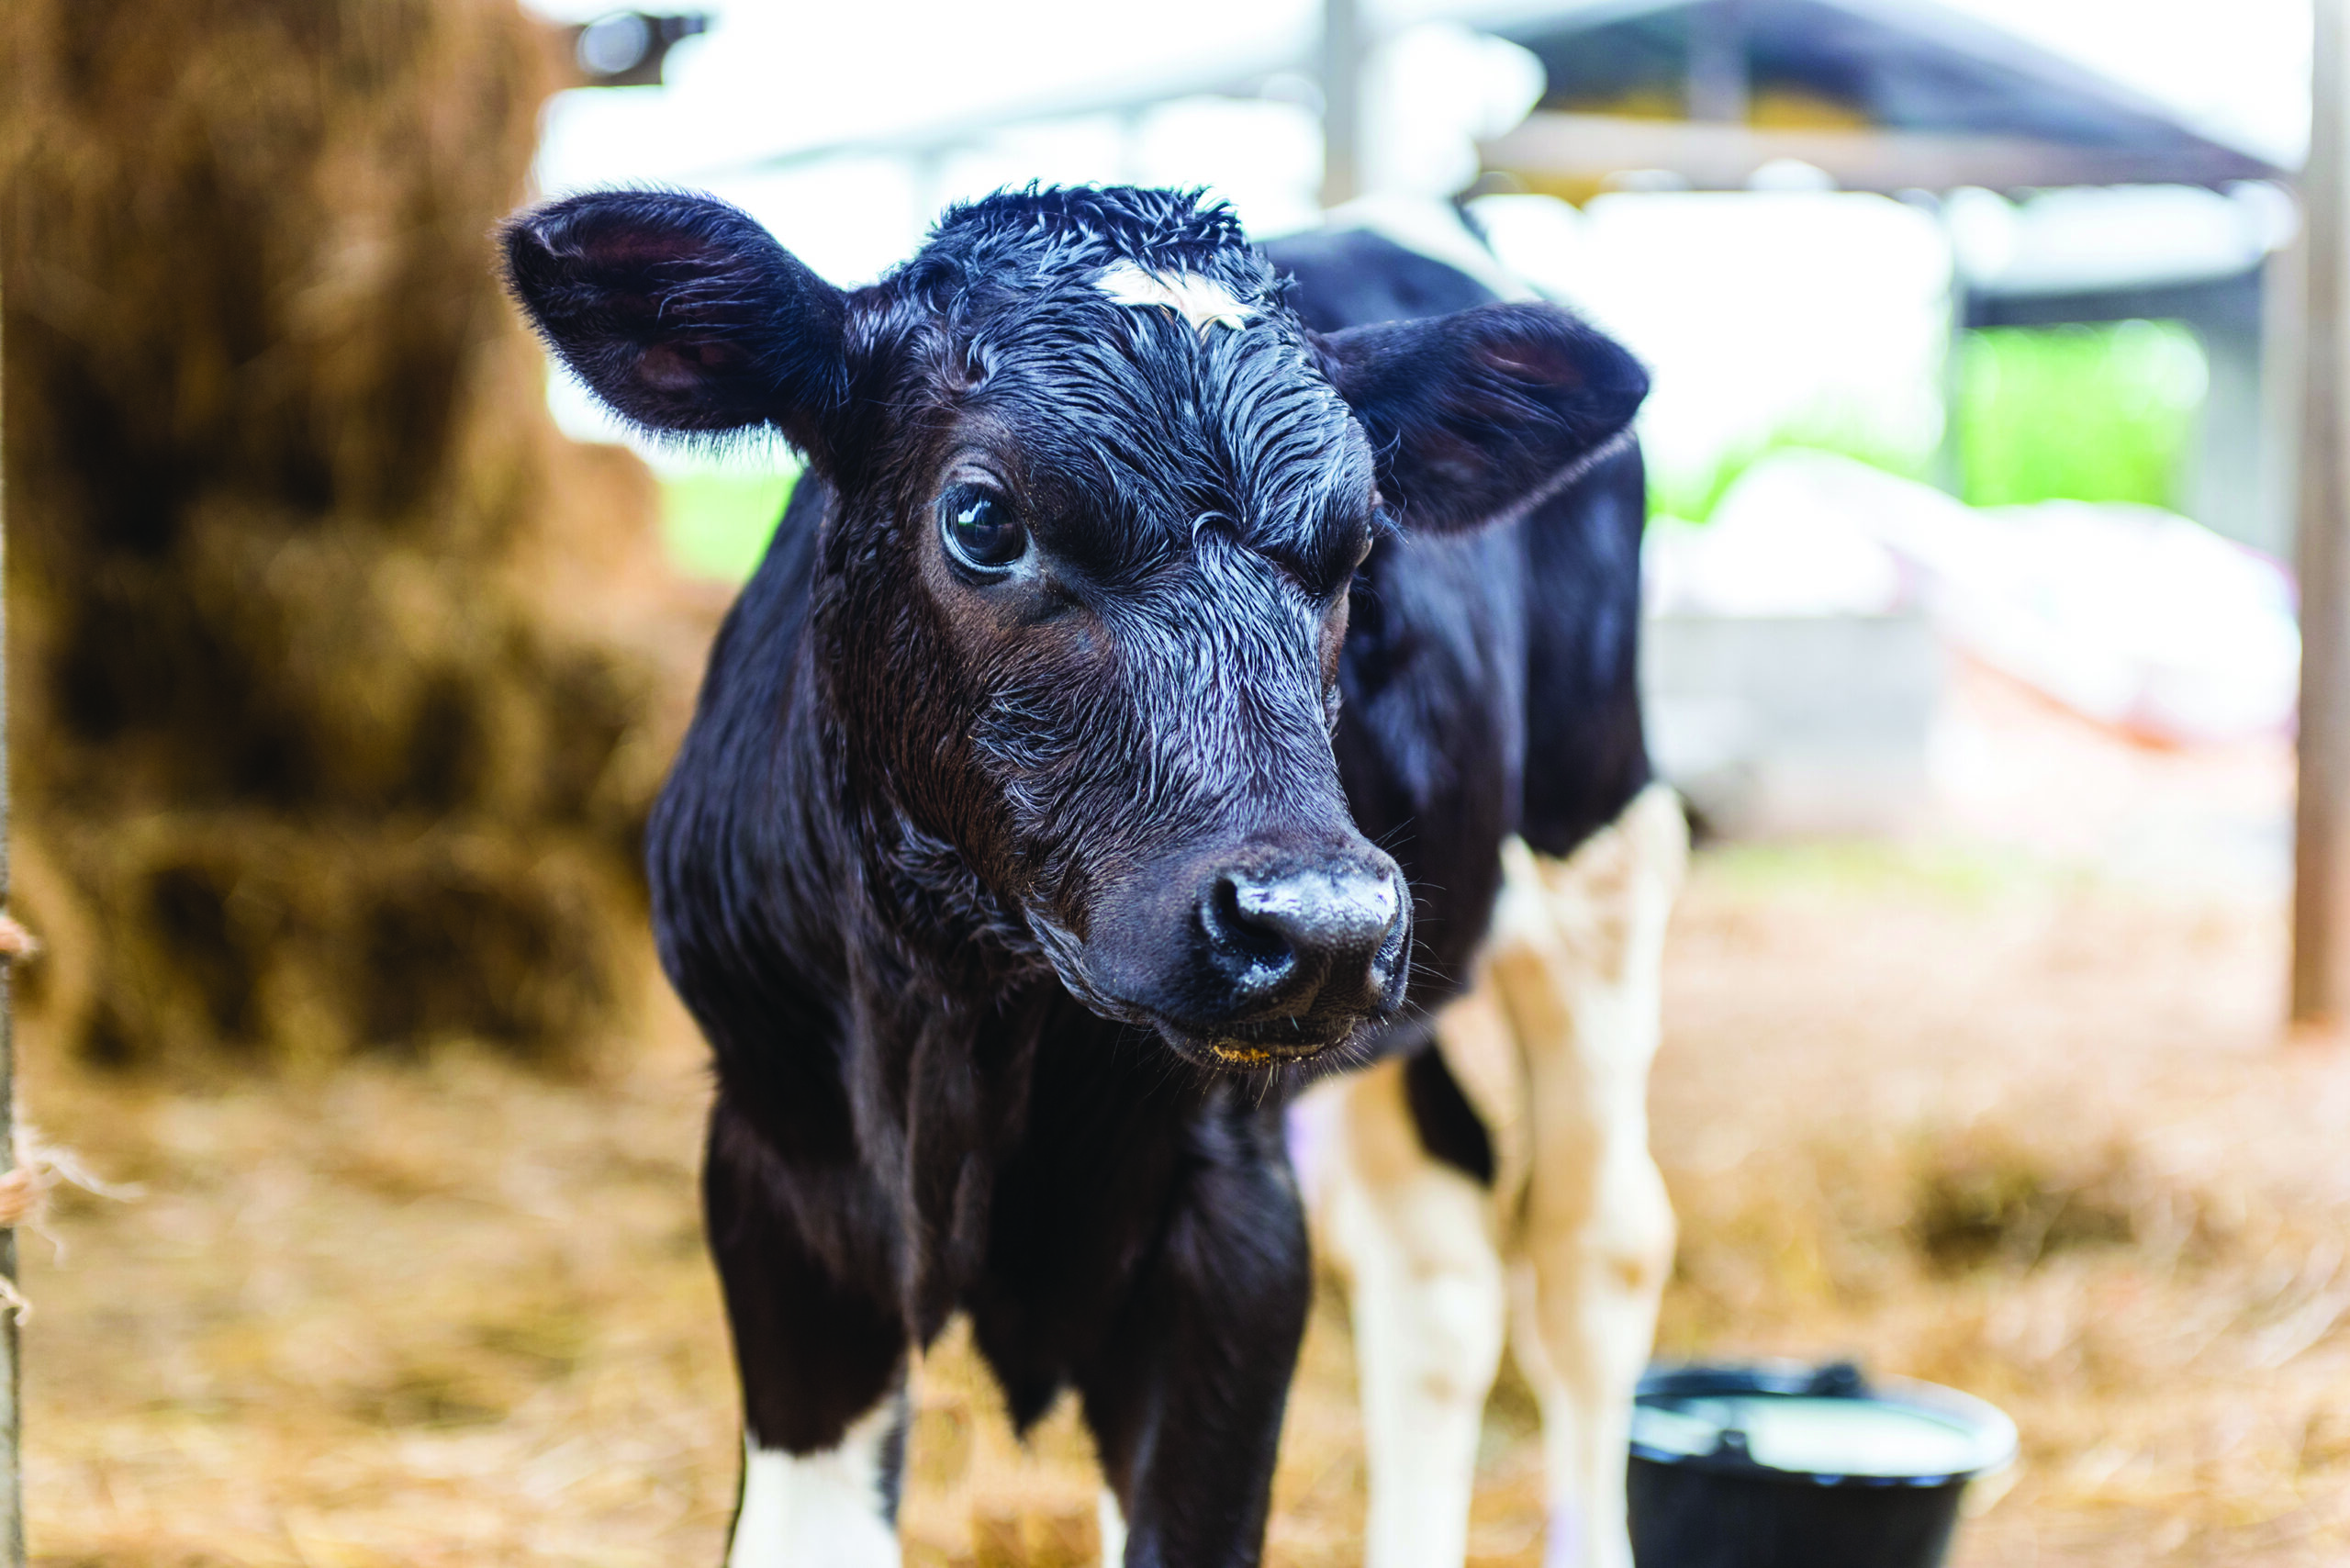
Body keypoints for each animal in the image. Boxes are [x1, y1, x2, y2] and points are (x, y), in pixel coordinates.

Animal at [500, 184, 1659, 1568]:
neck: (963, 1005)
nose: (1315, 924)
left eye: (1359, 546)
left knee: (1594, 1255)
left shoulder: (1230, 1210)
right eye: (981, 518)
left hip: (1601, 847)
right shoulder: (779, 1164)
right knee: (1437, 1259)